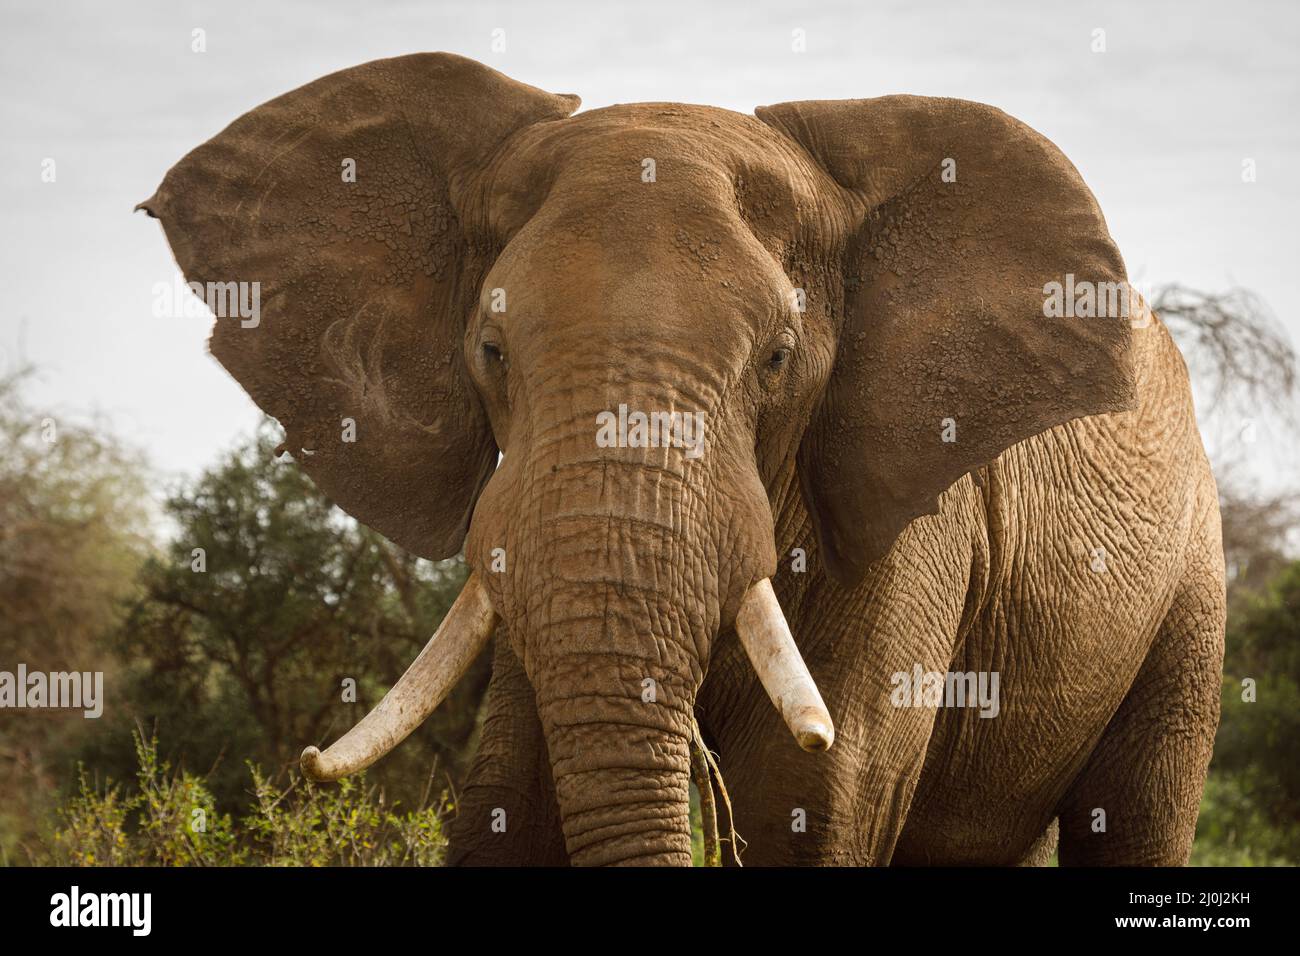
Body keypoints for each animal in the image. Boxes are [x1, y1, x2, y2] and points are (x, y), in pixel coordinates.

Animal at [138, 52, 1226, 866]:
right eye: (490, 352)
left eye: (778, 360)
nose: (310, 755)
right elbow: (508, 789)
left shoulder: (908, 517)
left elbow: (815, 790)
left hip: (1192, 578)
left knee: (1140, 811)